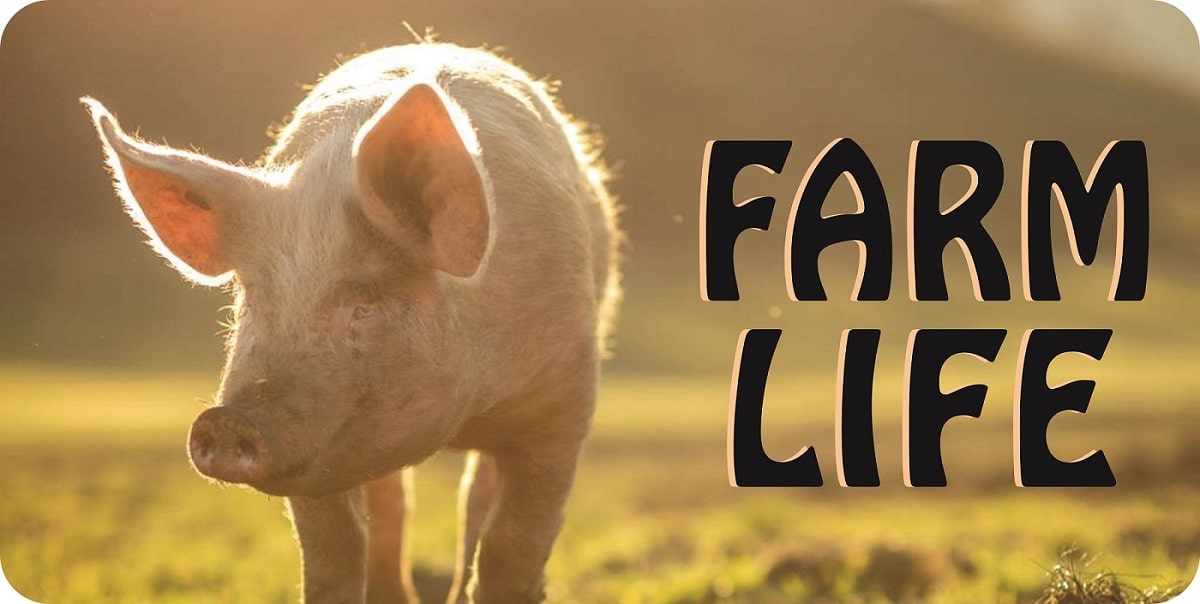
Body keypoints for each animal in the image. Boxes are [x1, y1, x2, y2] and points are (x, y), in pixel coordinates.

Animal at [83, 41, 621, 604]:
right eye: (253, 300)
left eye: (364, 305)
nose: (225, 420)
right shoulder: (319, 447)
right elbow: (333, 549)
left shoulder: (565, 402)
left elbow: (513, 540)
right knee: (391, 507)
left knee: (471, 497)